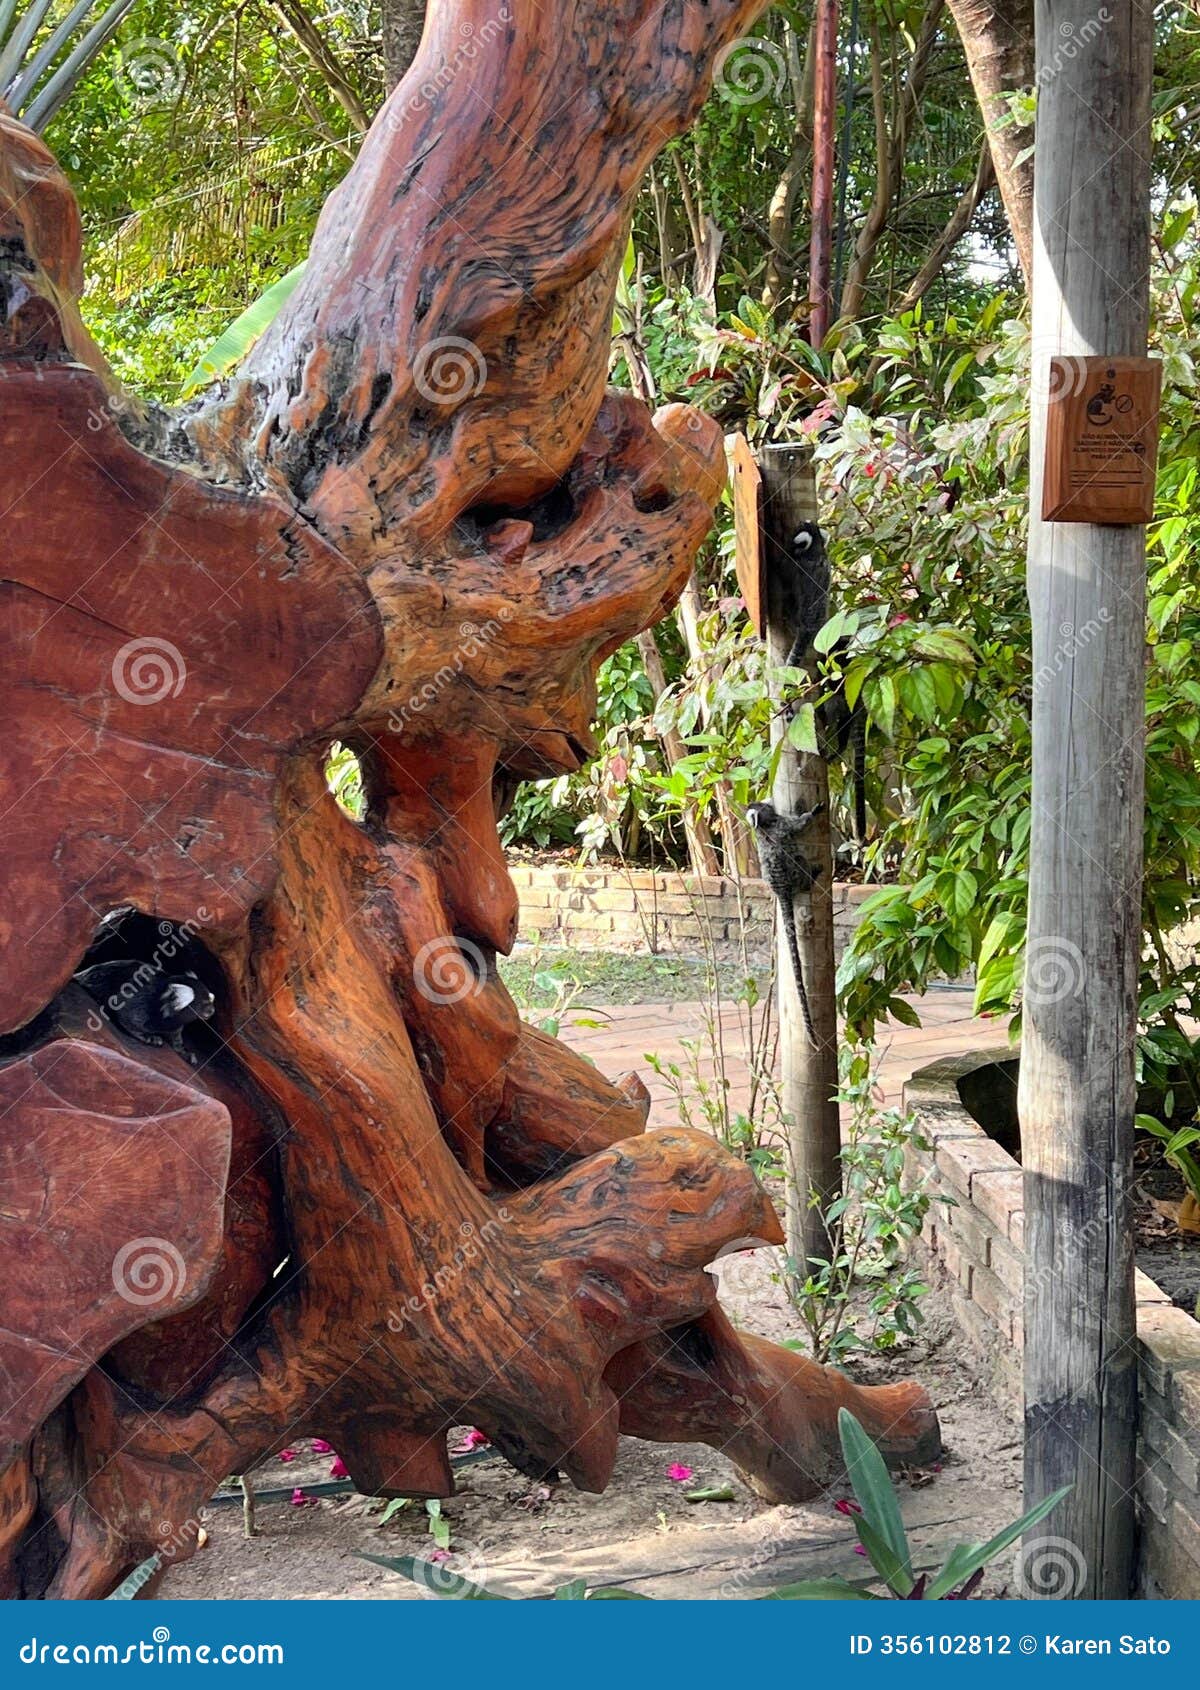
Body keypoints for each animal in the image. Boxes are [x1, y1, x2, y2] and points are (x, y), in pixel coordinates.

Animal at [76, 962, 216, 1064]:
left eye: (211, 999)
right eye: (205, 1004)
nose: (212, 1011)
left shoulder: (174, 1024)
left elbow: (175, 1037)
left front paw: (183, 1052)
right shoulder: (141, 1000)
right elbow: (127, 1017)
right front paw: (148, 1036)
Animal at [745, 800, 825, 1047]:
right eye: (762, 806)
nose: (768, 802)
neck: (762, 827)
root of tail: (781, 890)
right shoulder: (783, 825)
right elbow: (799, 824)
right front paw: (813, 813)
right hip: (796, 874)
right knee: (800, 863)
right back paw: (813, 875)